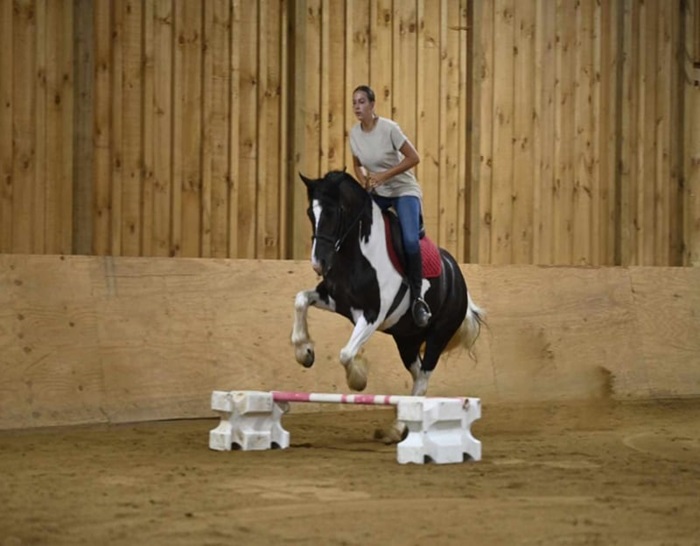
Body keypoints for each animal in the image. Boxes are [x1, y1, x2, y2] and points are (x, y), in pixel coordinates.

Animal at [291, 170, 484, 441]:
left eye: (334, 211)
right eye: (311, 212)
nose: (319, 263)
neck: (357, 253)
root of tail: (456, 276)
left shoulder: (373, 315)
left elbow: (346, 353)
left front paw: (358, 378)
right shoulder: (334, 300)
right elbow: (301, 299)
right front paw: (304, 352)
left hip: (438, 335)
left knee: (424, 376)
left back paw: (397, 428)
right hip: (407, 340)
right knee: (417, 374)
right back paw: (401, 425)